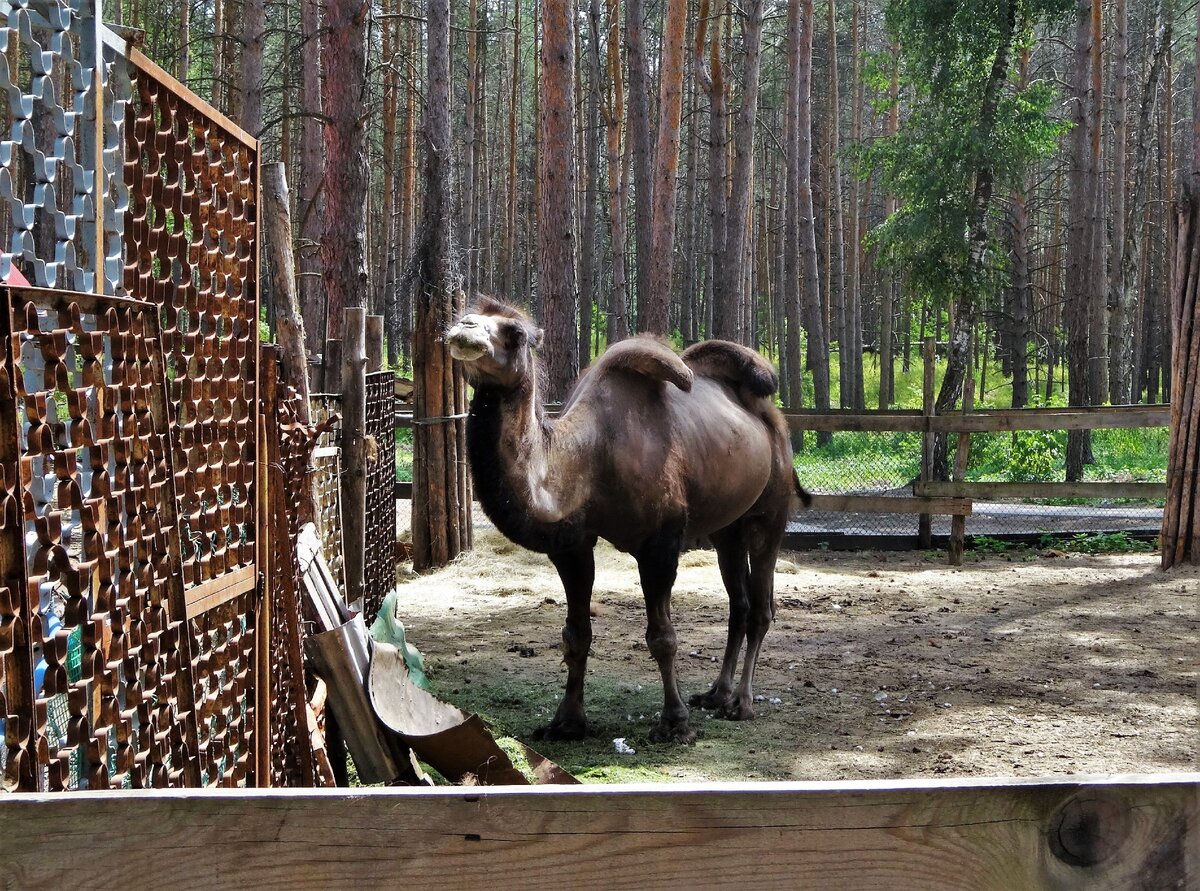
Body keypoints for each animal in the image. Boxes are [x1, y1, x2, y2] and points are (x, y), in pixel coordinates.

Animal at [448, 300, 806, 744]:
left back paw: (741, 703)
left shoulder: (659, 545)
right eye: (468, 312)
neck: (591, 455)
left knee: (760, 607)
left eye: (514, 333)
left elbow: (662, 638)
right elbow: (576, 635)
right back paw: (716, 694)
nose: (463, 329)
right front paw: (566, 721)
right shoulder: (572, 546)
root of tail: (773, 417)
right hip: (727, 529)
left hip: (769, 514)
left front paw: (674, 722)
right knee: (737, 603)